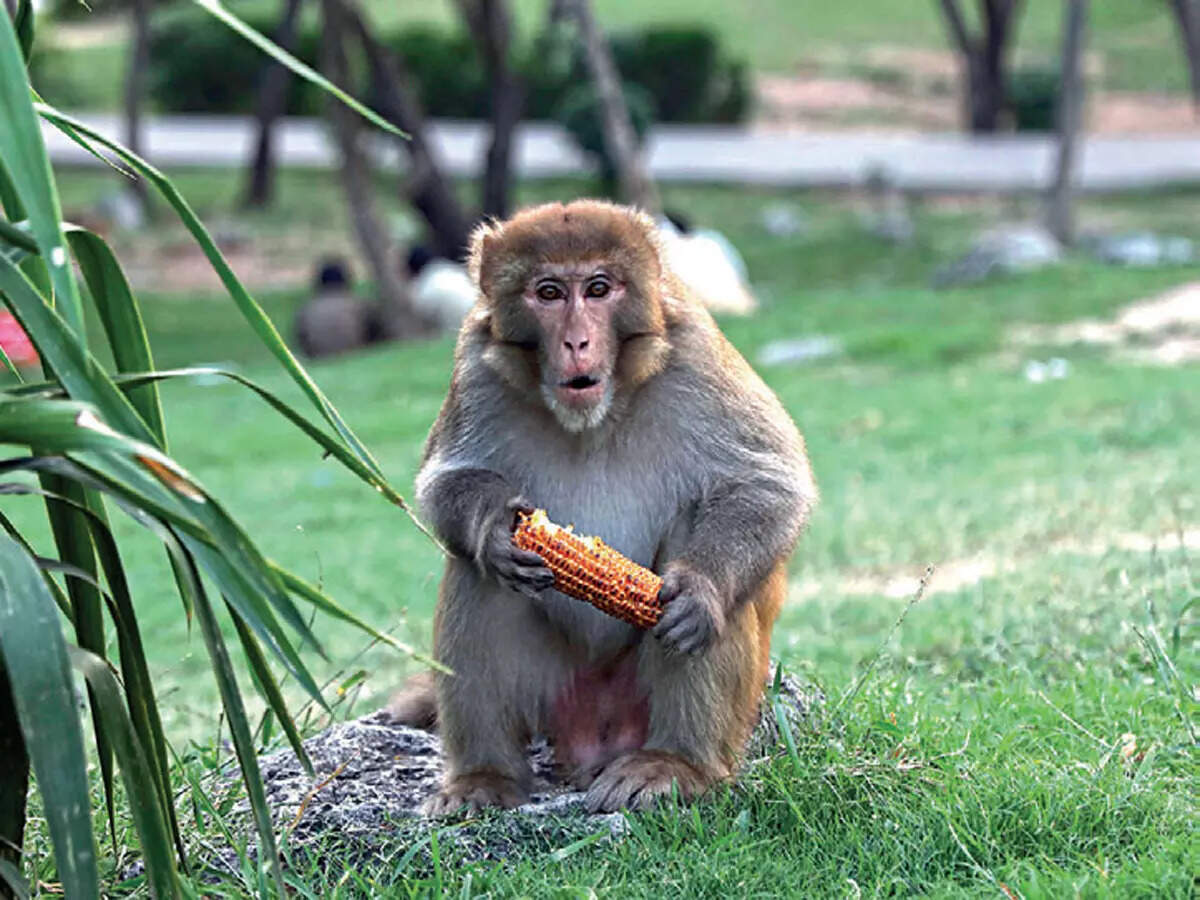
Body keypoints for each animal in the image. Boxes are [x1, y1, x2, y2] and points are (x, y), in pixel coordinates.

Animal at [395, 199, 816, 814]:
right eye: (548, 293)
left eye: (599, 289)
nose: (576, 343)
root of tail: (594, 740)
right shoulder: (475, 364)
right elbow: (443, 480)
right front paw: (497, 532)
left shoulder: (696, 350)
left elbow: (768, 480)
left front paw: (701, 591)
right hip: (555, 694)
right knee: (477, 577)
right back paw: (484, 777)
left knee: (699, 533)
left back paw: (676, 764)